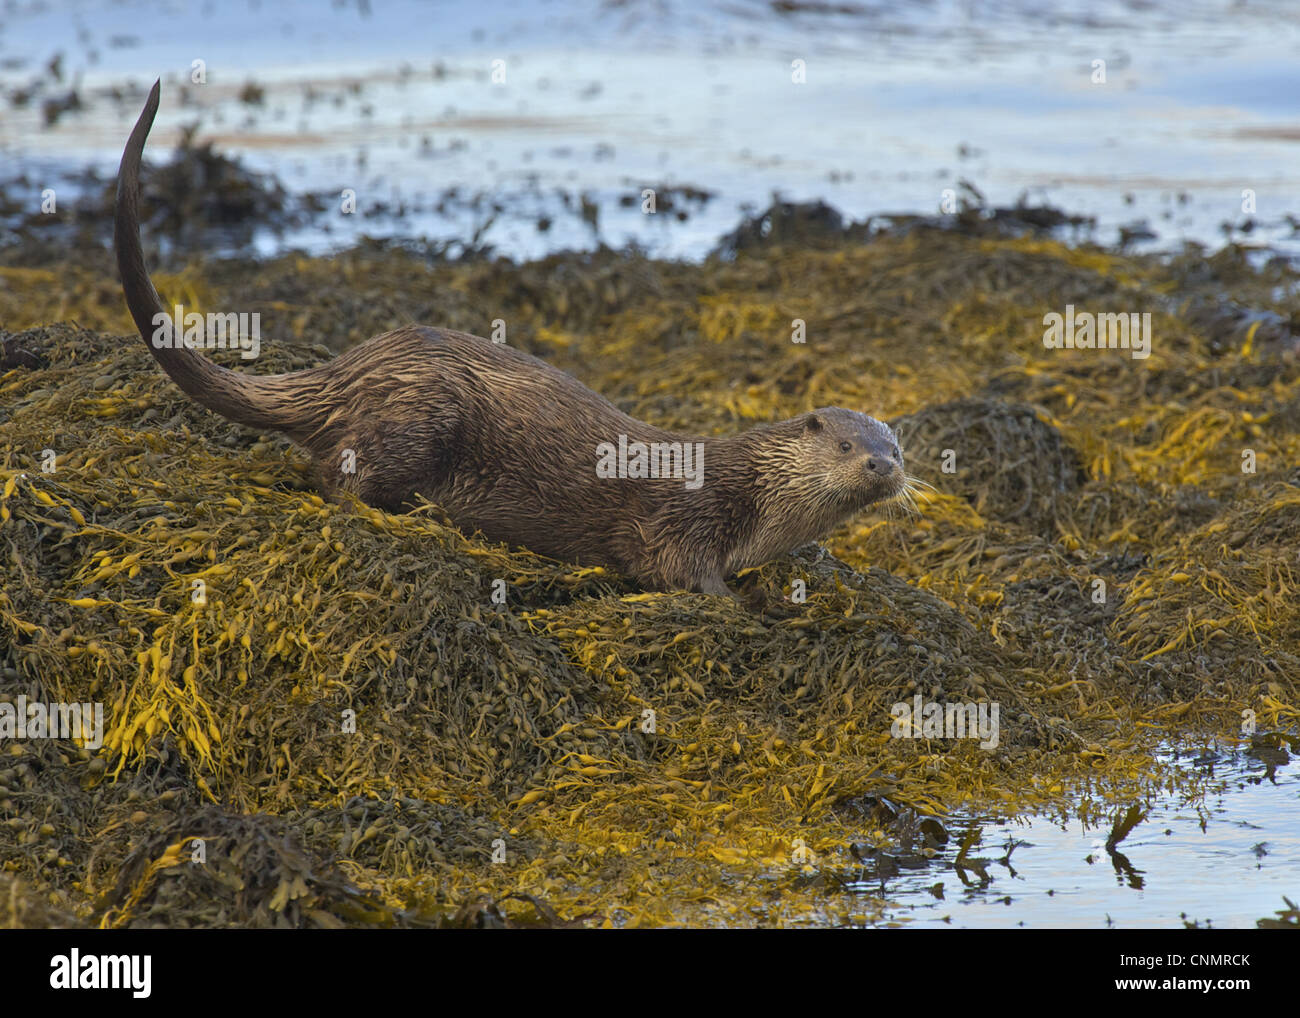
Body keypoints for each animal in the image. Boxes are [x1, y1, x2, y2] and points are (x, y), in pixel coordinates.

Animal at [114, 81, 910, 595]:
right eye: (847, 446)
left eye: (896, 450)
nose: (882, 467)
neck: (752, 496)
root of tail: (353, 369)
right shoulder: (679, 522)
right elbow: (678, 574)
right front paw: (743, 602)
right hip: (419, 415)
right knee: (341, 480)